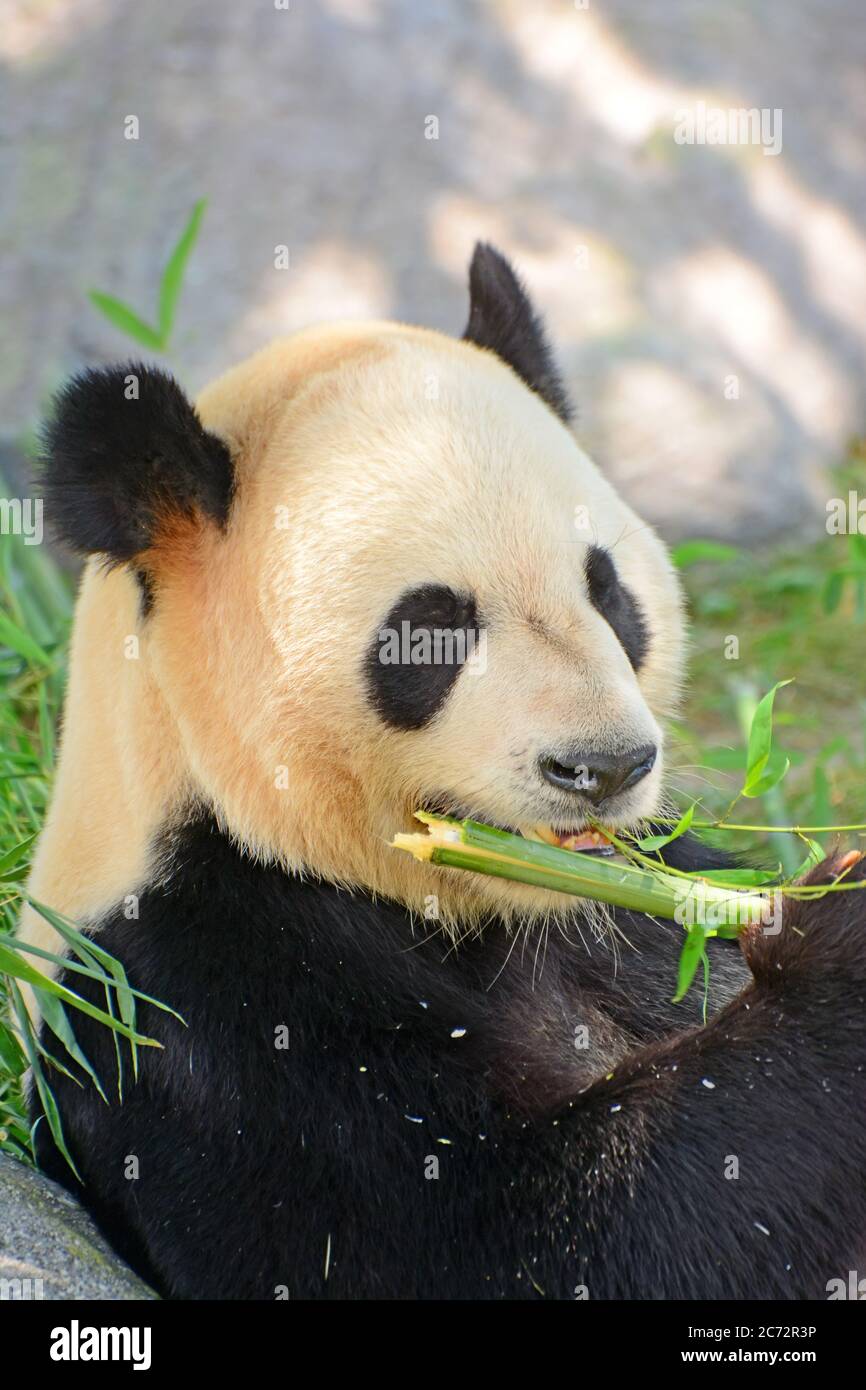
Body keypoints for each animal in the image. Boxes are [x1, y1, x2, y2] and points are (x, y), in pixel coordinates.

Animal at [19, 243, 866, 1300]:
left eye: (607, 591)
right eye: (430, 631)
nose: (604, 766)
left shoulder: (636, 915)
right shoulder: (199, 1012)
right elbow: (522, 1243)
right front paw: (839, 941)